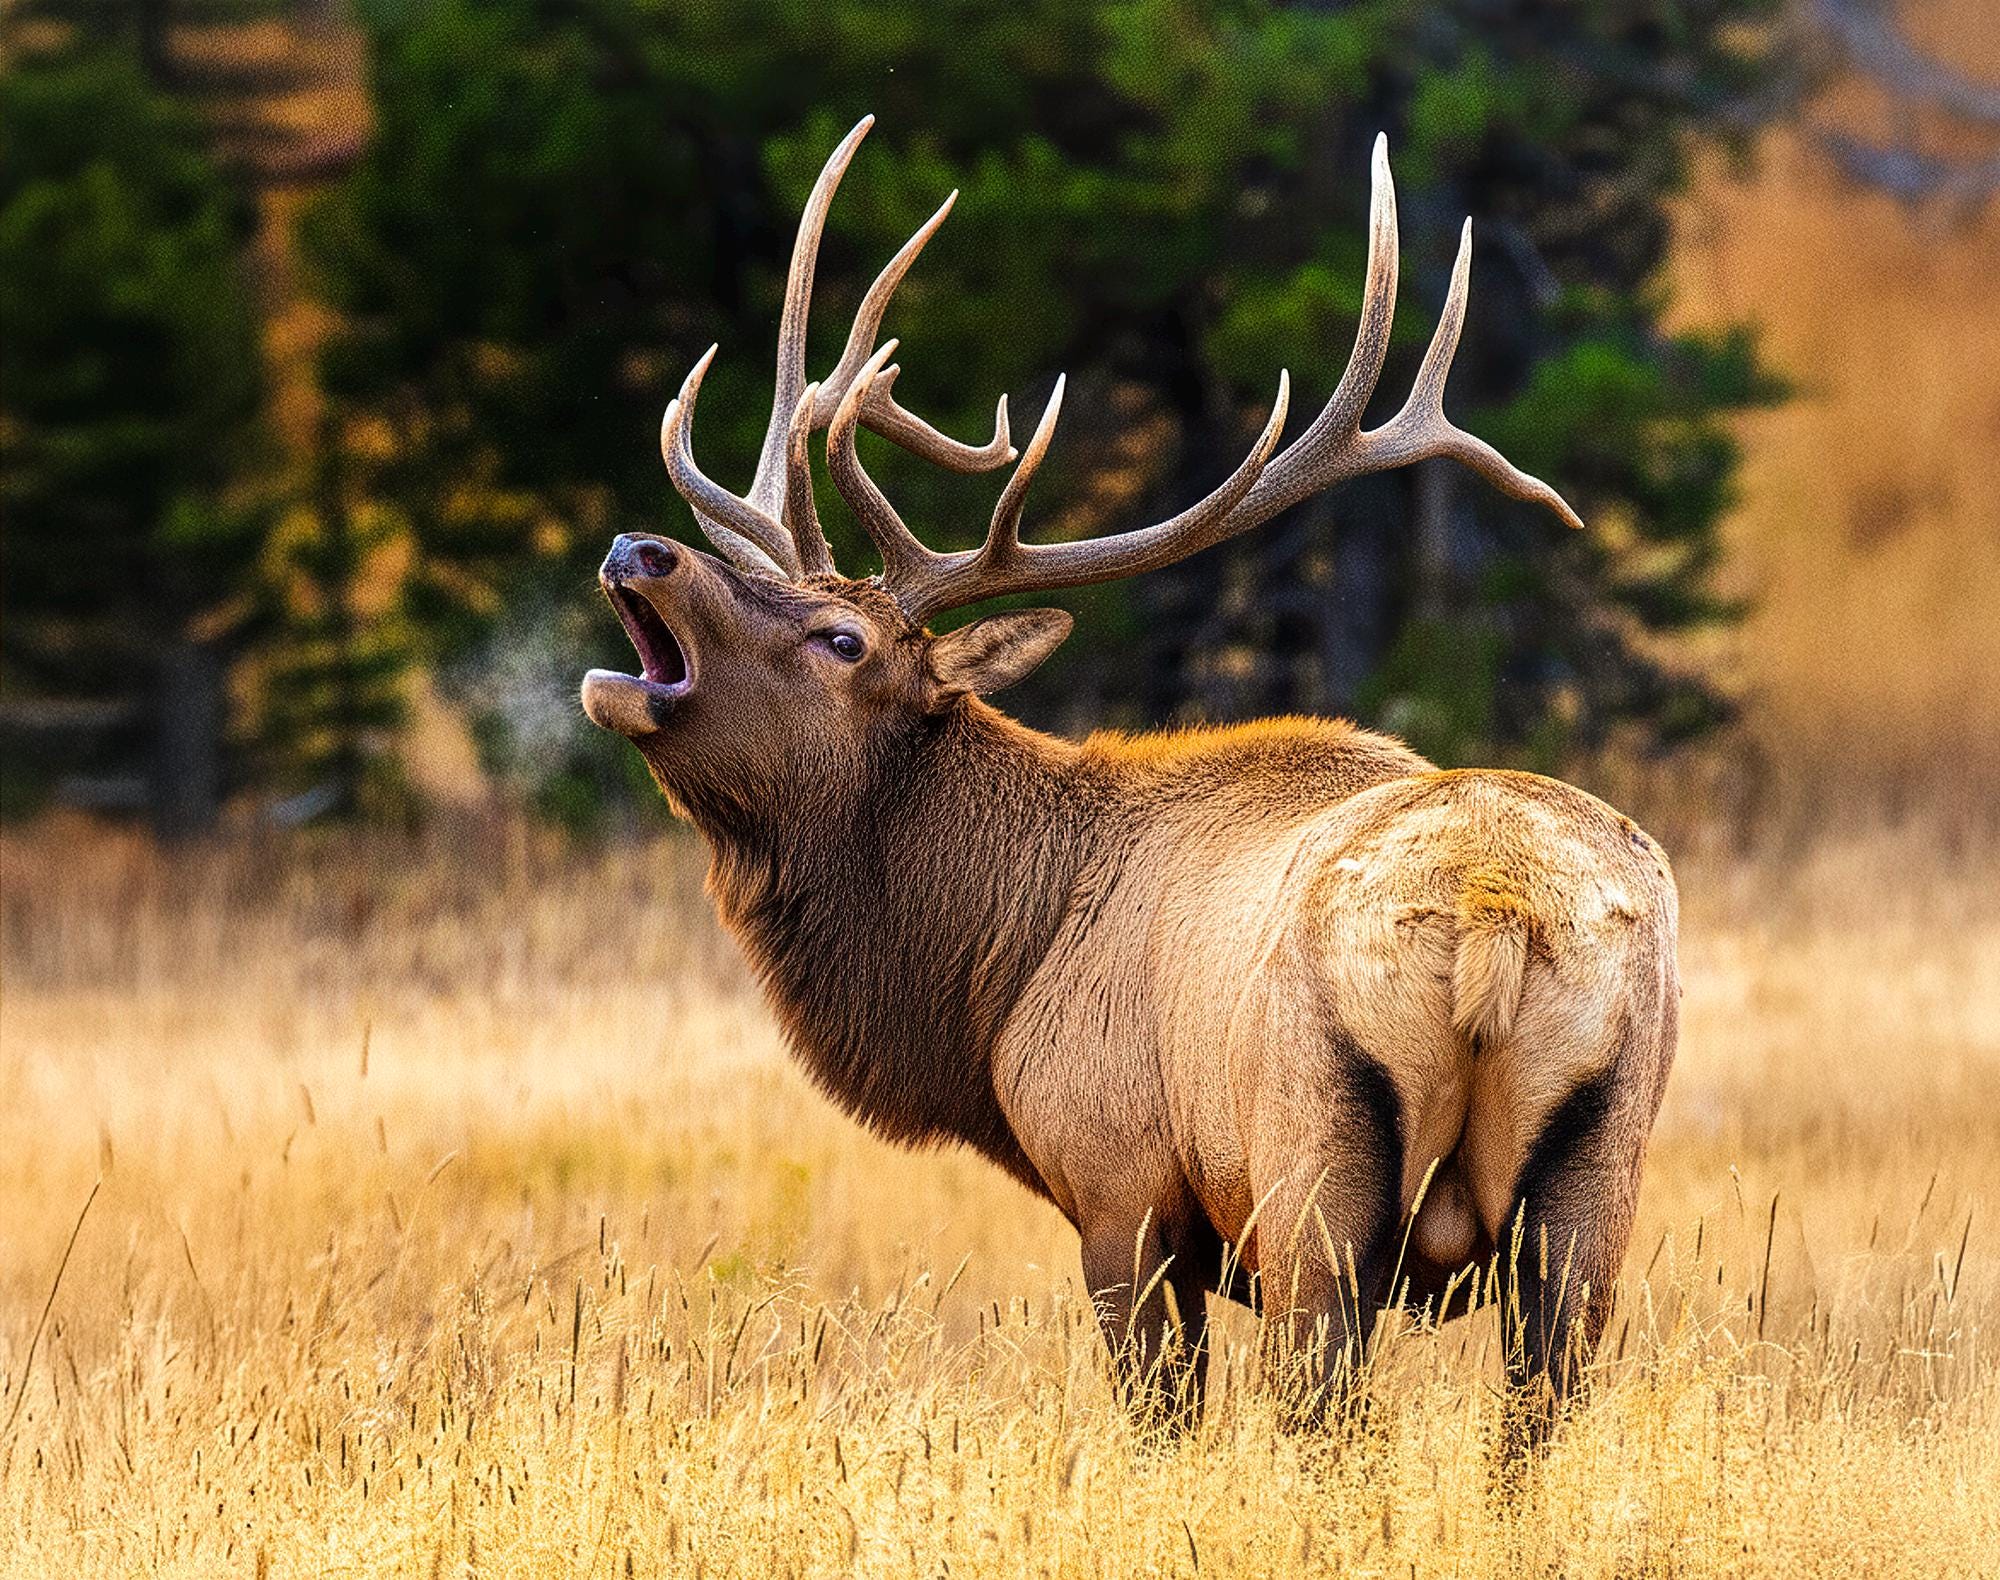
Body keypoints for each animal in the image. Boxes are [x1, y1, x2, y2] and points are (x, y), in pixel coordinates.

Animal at [581, 116, 1679, 1448]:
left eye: (841, 640)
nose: (640, 545)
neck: (991, 981)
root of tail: (1490, 915)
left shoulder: (1122, 1193)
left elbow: (1163, 1418)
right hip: (1590, 1186)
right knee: (1533, 1418)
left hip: (1314, 1179)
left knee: (1327, 1413)